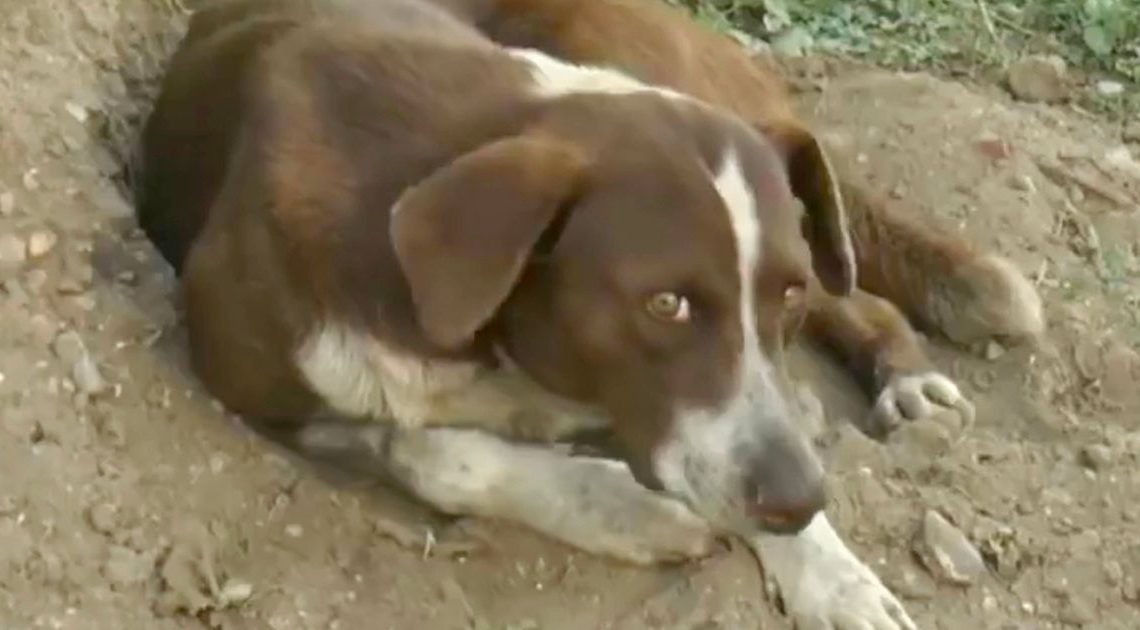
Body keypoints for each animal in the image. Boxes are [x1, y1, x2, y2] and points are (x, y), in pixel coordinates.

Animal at [131, 1, 1044, 628]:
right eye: (665, 304)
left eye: (780, 297)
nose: (798, 499)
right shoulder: (254, 386)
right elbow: (437, 451)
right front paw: (623, 509)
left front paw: (831, 572)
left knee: (855, 283)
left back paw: (908, 382)